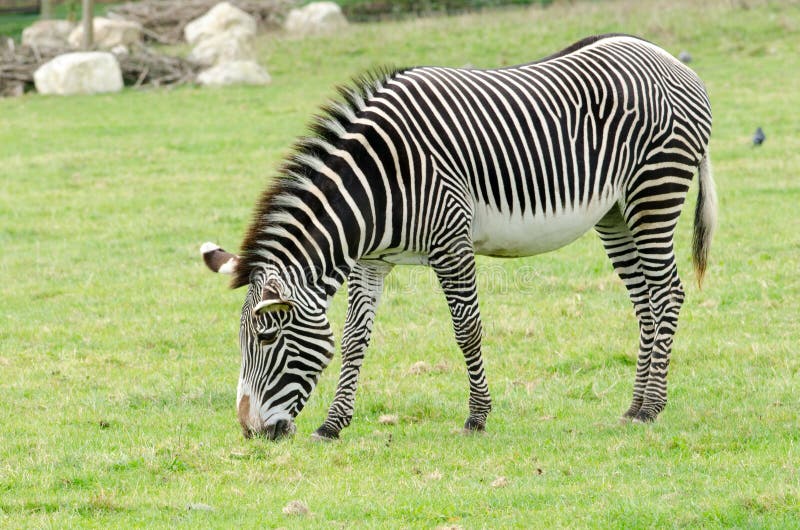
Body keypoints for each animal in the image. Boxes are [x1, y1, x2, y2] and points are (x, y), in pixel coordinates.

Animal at [201, 34, 716, 440]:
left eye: (267, 338)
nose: (250, 432)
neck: (379, 183)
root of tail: (670, 59)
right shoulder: (371, 260)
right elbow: (354, 338)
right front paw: (333, 424)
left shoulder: (452, 243)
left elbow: (466, 329)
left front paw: (478, 417)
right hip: (616, 215)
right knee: (645, 302)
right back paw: (635, 406)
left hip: (655, 193)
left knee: (667, 294)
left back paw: (651, 408)